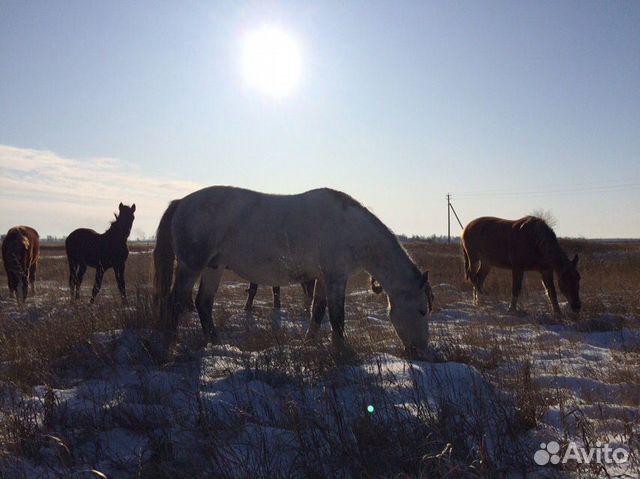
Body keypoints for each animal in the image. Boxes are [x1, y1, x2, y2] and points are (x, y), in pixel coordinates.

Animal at [153, 186, 434, 357]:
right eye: (422, 310)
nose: (422, 351)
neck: (351, 230)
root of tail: (181, 202)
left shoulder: (323, 278)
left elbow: (317, 311)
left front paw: (309, 342)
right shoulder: (336, 277)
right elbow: (337, 317)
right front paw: (340, 351)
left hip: (213, 267)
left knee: (203, 304)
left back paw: (216, 343)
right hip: (190, 267)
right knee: (174, 302)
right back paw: (171, 345)